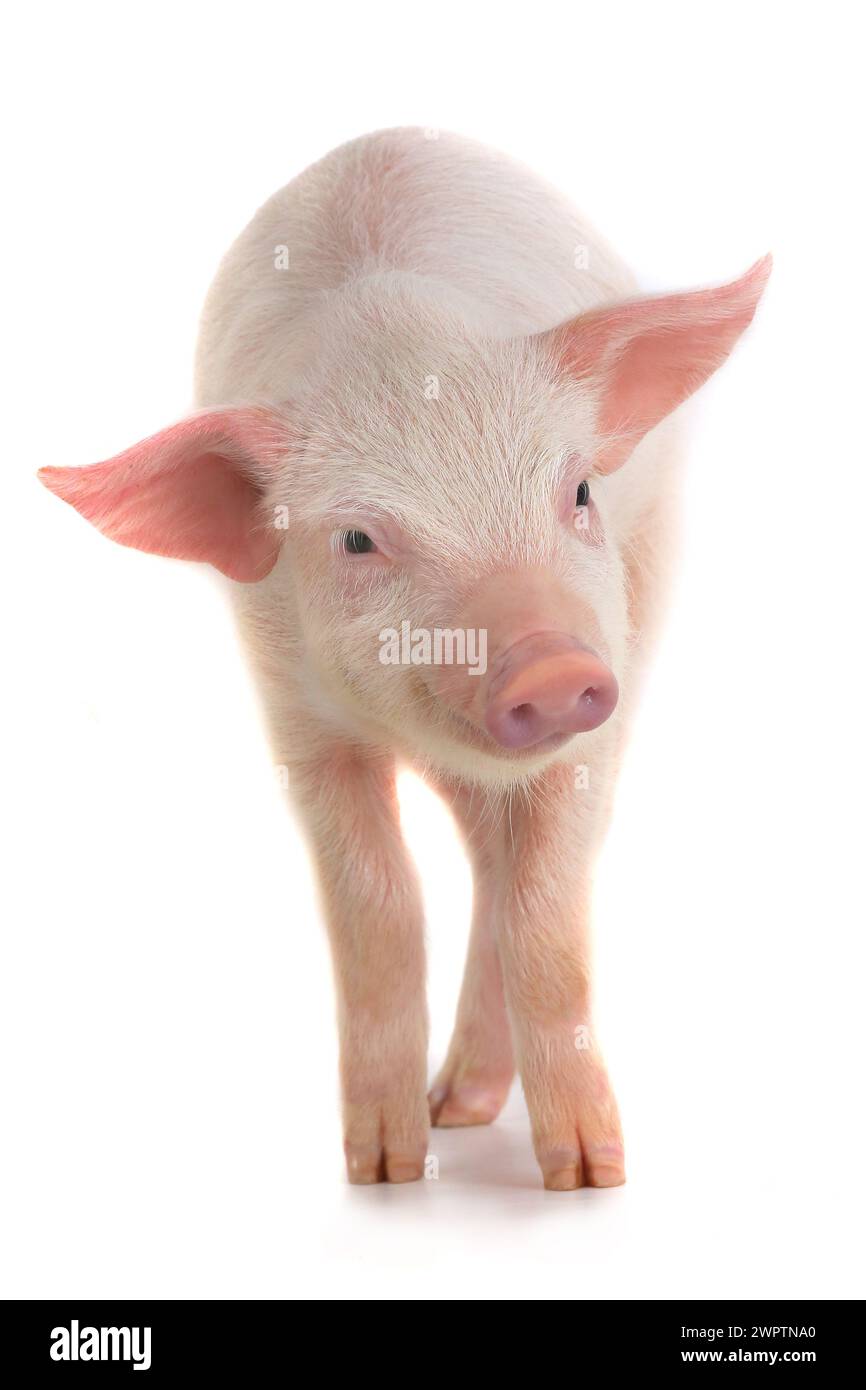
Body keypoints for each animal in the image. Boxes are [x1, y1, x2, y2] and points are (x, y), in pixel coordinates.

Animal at [39, 129, 769, 1189]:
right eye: (356, 541)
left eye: (578, 491)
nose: (550, 665)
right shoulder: (293, 709)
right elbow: (376, 903)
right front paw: (382, 1170)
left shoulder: (604, 675)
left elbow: (548, 904)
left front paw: (589, 1178)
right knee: (481, 858)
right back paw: (450, 1112)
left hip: (647, 581)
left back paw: (471, 1110)